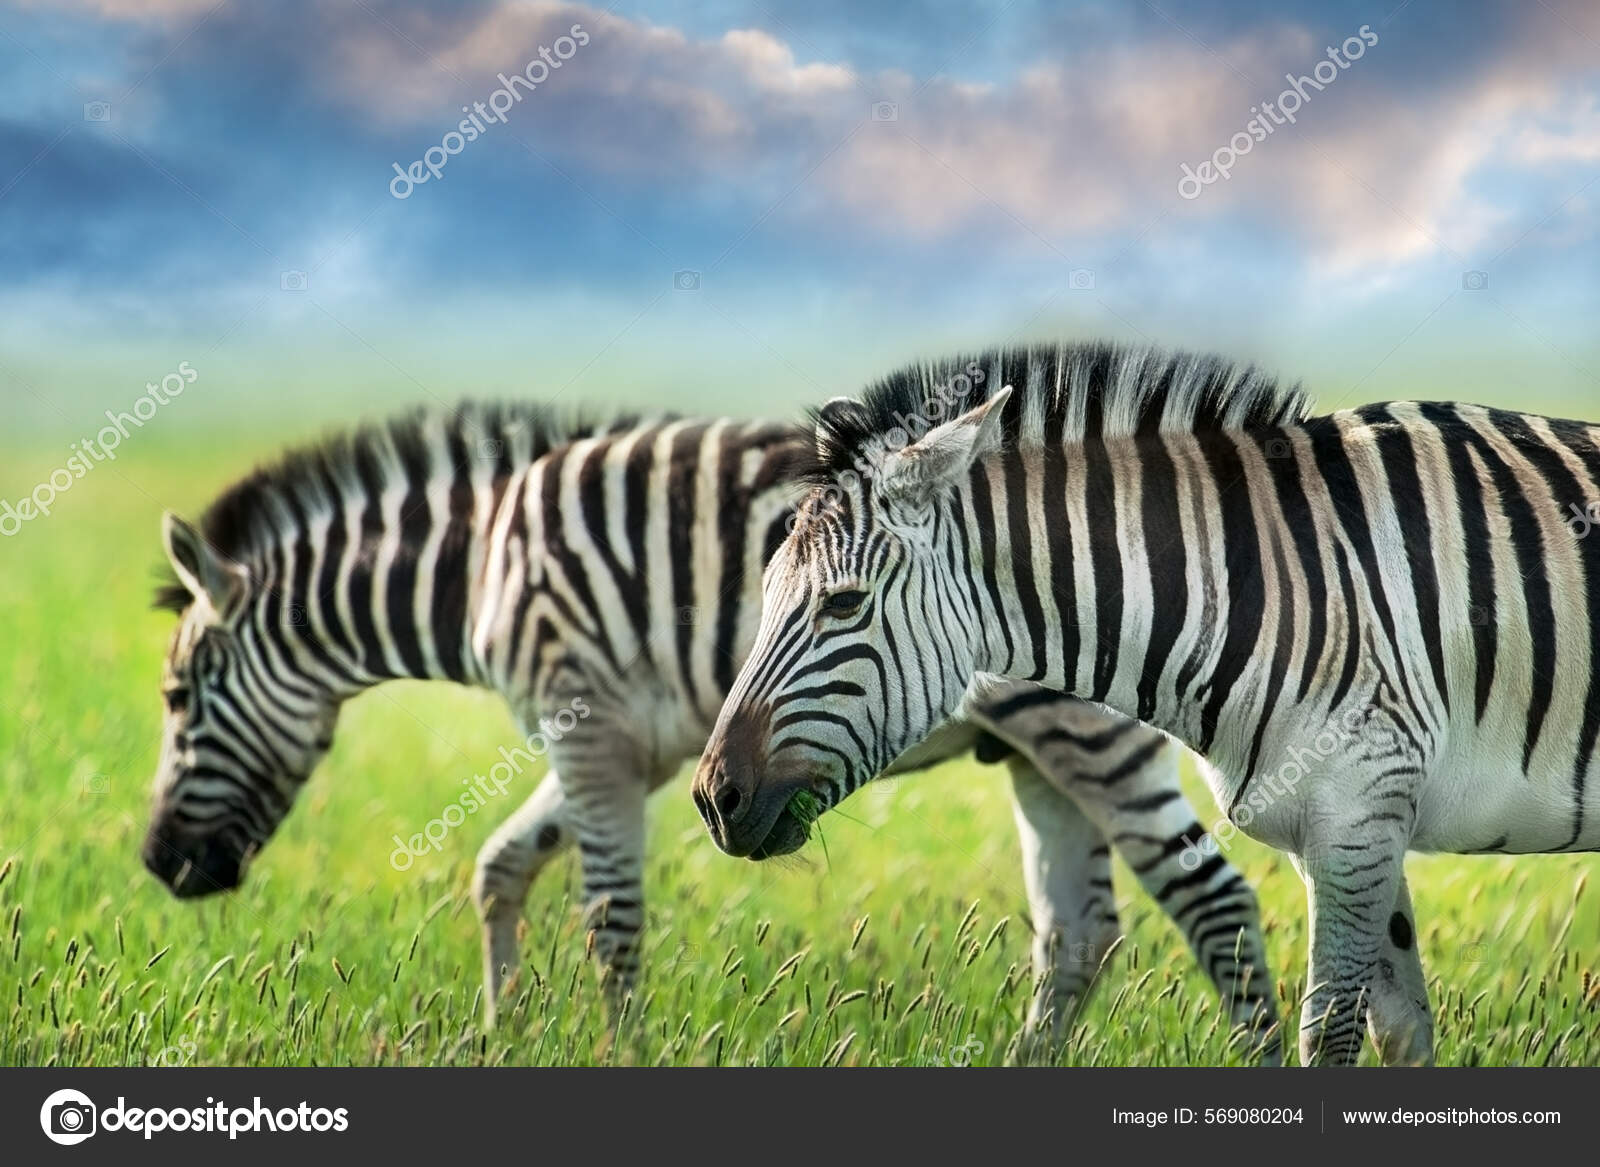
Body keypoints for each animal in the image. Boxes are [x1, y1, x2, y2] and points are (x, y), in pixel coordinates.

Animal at [142, 402, 1278, 1055]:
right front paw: (502, 1032)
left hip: (1088, 727)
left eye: (178, 697)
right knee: (1080, 933)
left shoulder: (585, 725)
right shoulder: (628, 746)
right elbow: (502, 866)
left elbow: (609, 919)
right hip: (1037, 750)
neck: (483, 559)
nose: (159, 865)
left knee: (1214, 902)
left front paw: (620, 1056)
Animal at [695, 341, 1600, 1067]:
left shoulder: (1360, 810)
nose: (712, 798)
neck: (1267, 582)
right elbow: (1403, 1029)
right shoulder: (1345, 828)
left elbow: (1332, 1034)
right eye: (763, 589)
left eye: (843, 604)